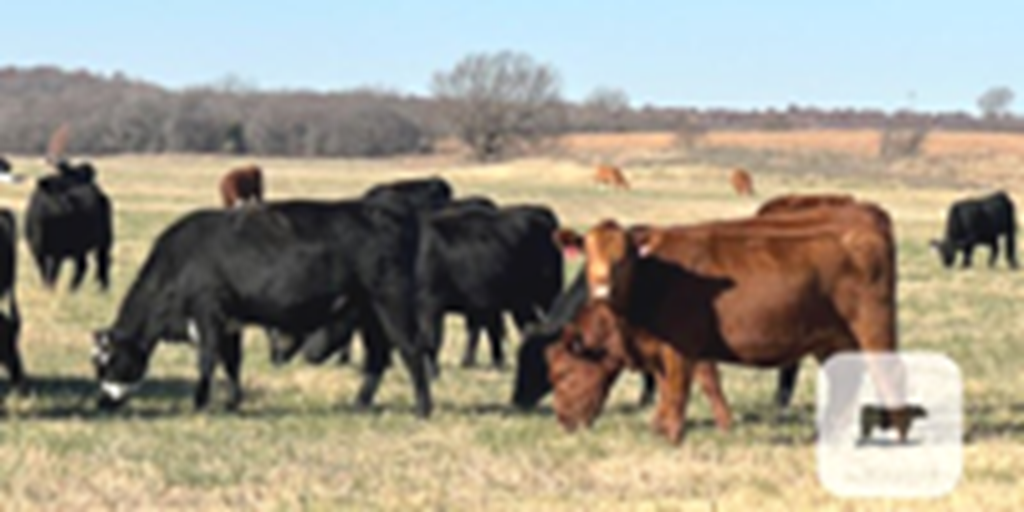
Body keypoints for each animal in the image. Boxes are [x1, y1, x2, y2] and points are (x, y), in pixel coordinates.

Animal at [91, 198, 434, 417]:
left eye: (111, 362)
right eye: (96, 364)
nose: (102, 402)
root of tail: (382, 209)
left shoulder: (208, 314)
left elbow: (207, 362)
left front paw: (200, 404)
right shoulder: (229, 323)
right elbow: (231, 363)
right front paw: (232, 403)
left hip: (391, 301)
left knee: (411, 349)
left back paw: (422, 408)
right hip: (368, 312)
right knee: (378, 356)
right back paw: (360, 404)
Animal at [545, 201, 899, 443]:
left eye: (562, 373)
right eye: (589, 255)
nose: (562, 420)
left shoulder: (683, 350)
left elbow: (682, 389)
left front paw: (675, 434)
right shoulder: (665, 350)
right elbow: (668, 387)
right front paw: (660, 427)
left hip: (874, 330)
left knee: (890, 376)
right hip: (832, 341)